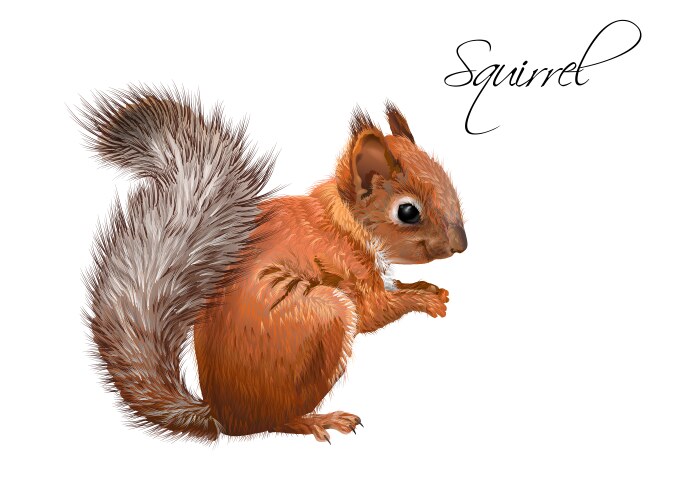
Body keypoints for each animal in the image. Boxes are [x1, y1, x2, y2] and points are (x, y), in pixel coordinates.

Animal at [77, 86, 467, 443]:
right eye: (408, 212)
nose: (460, 245)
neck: (344, 223)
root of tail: (220, 415)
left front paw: (426, 289)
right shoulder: (343, 264)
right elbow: (376, 310)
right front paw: (425, 298)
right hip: (324, 321)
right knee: (274, 422)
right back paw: (318, 420)